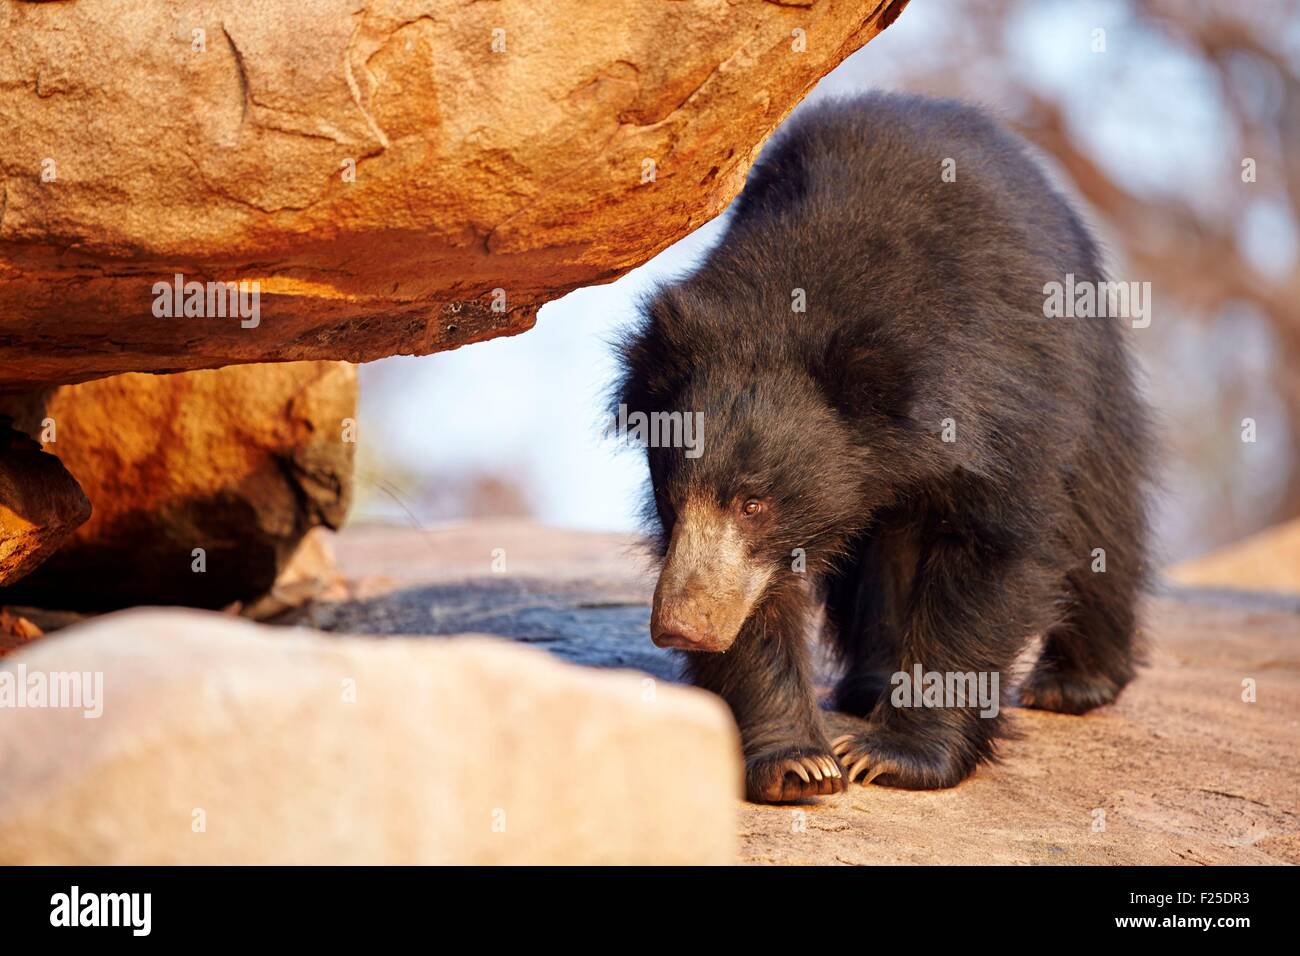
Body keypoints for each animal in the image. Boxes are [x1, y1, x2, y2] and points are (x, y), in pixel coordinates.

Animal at [612, 92, 1153, 803]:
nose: (681, 625)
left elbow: (993, 550)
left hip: (1089, 359)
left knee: (1100, 511)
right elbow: (761, 604)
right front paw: (799, 765)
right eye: (674, 501)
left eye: (754, 505)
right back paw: (869, 686)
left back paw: (1074, 683)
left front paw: (893, 757)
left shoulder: (1002, 391)